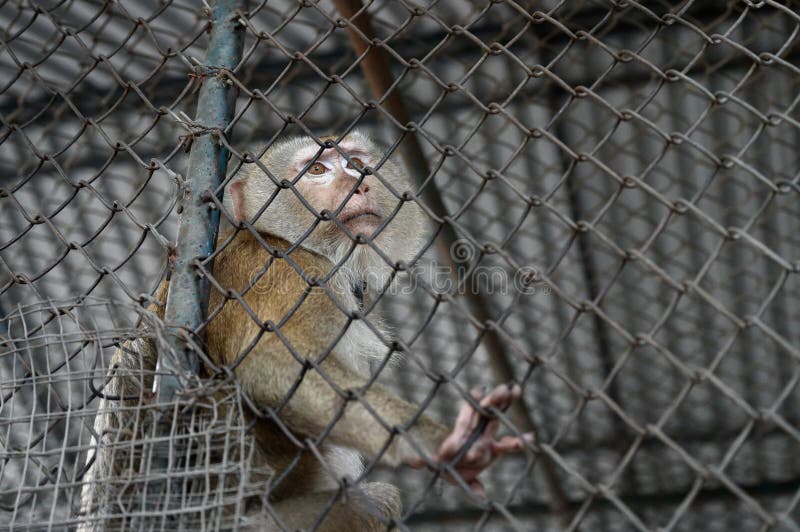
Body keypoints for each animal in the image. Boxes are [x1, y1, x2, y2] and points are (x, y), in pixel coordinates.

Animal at [78, 130, 532, 531]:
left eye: (356, 162)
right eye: (317, 169)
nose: (358, 182)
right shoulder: (283, 271)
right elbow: (274, 364)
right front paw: (443, 443)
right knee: (378, 500)